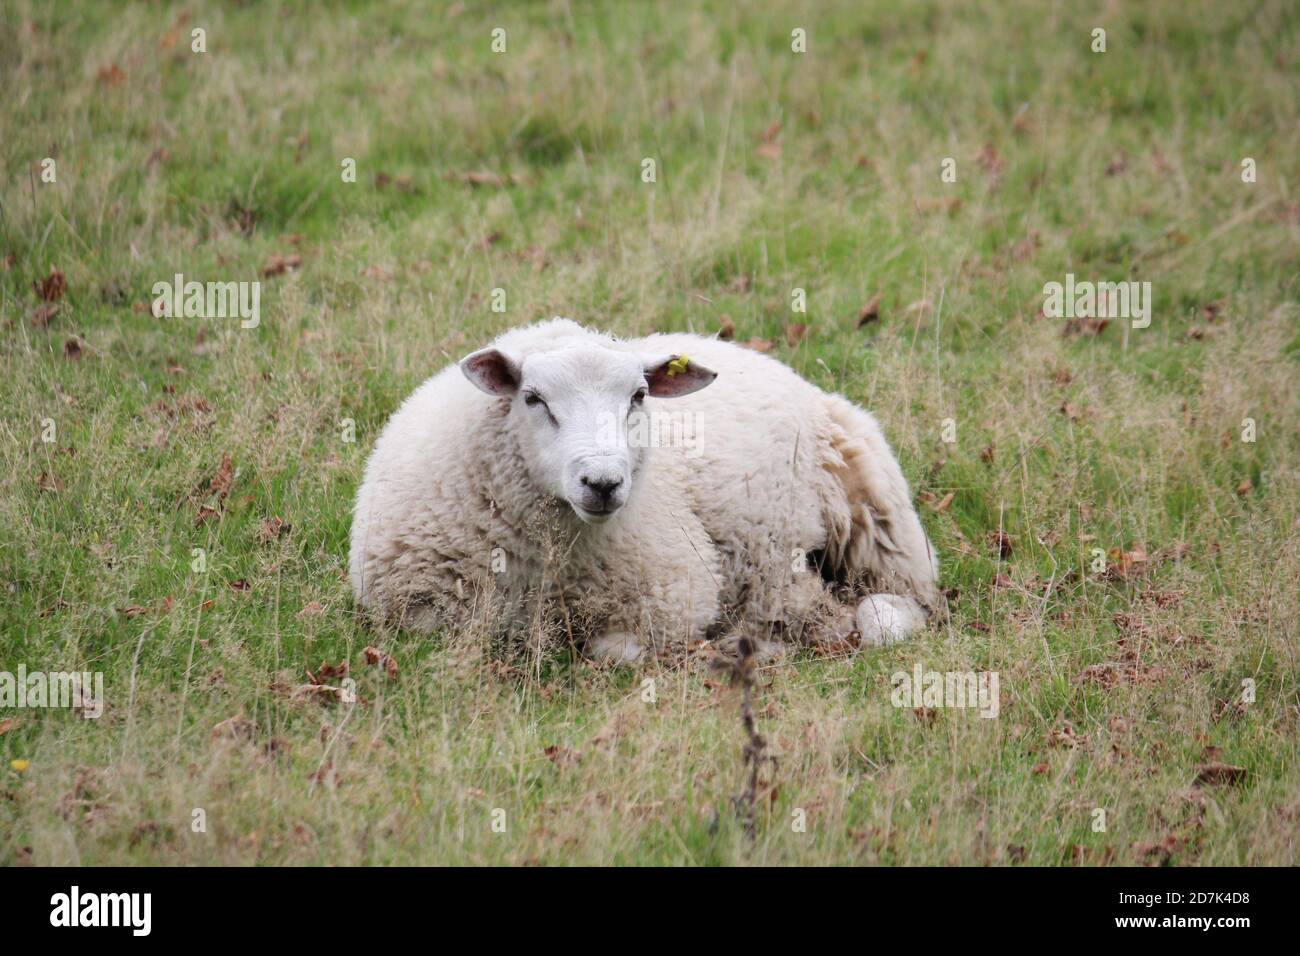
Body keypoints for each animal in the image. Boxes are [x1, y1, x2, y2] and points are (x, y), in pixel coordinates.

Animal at [349, 318, 939, 661]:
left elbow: (617, 651)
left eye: (637, 396)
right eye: (533, 398)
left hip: (880, 527)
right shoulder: (414, 611)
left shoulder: (674, 595)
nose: (603, 483)